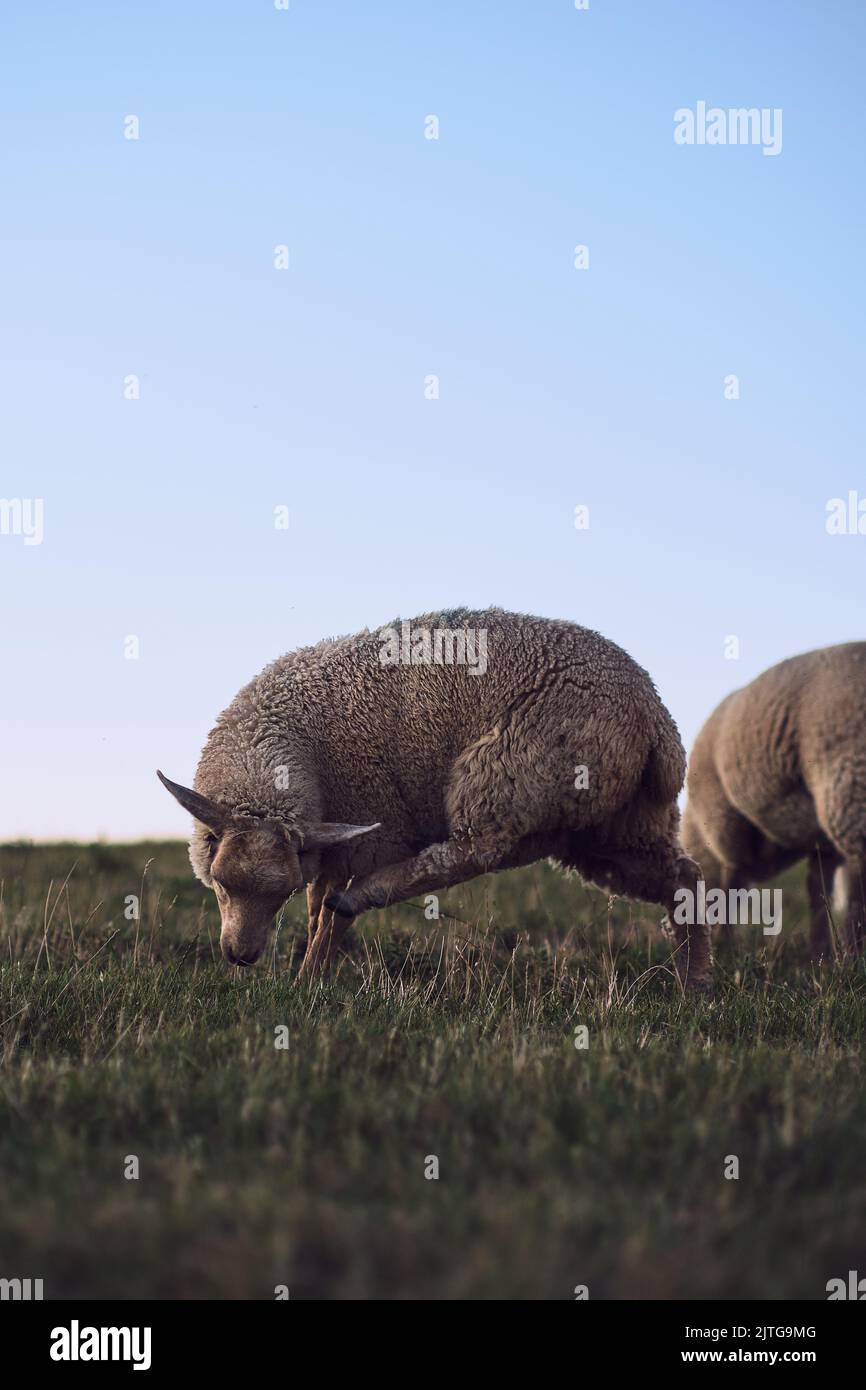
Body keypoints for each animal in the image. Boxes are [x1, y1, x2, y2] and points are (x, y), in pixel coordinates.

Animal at [158, 607, 708, 986]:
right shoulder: (327, 838)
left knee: (472, 850)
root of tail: (657, 720)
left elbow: (326, 913)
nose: (241, 957)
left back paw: (367, 894)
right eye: (221, 882)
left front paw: (309, 980)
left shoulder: (364, 830)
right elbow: (315, 909)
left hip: (511, 772)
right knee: (682, 878)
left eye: (279, 893)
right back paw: (695, 984)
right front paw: (310, 967)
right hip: (610, 823)